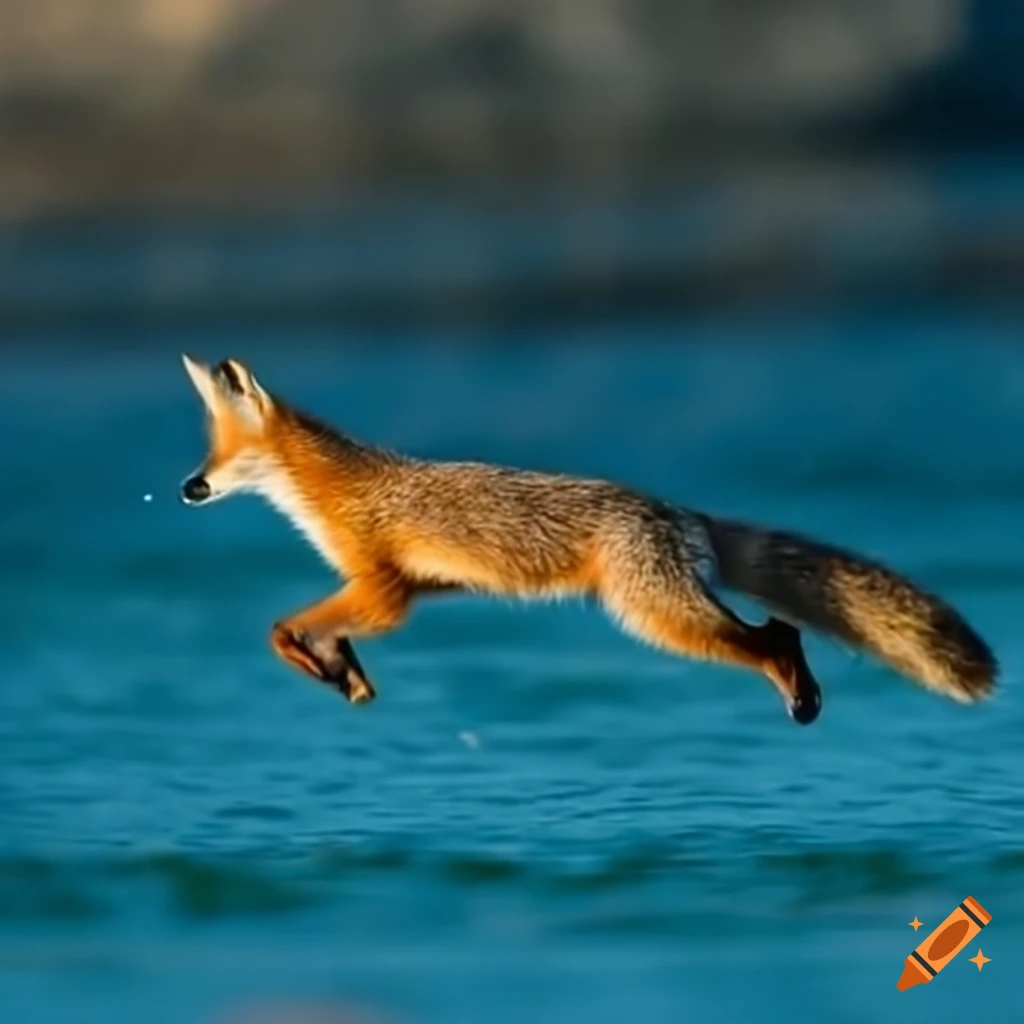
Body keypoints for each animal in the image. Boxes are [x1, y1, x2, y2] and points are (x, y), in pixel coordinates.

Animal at [179, 354, 997, 725]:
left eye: (223, 452)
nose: (189, 487)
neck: (334, 490)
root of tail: (681, 510)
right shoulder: (411, 589)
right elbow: (309, 634)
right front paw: (341, 673)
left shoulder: (382, 592)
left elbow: (281, 628)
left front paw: (322, 663)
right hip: (667, 608)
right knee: (780, 628)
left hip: (657, 616)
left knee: (775, 638)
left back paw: (796, 690)